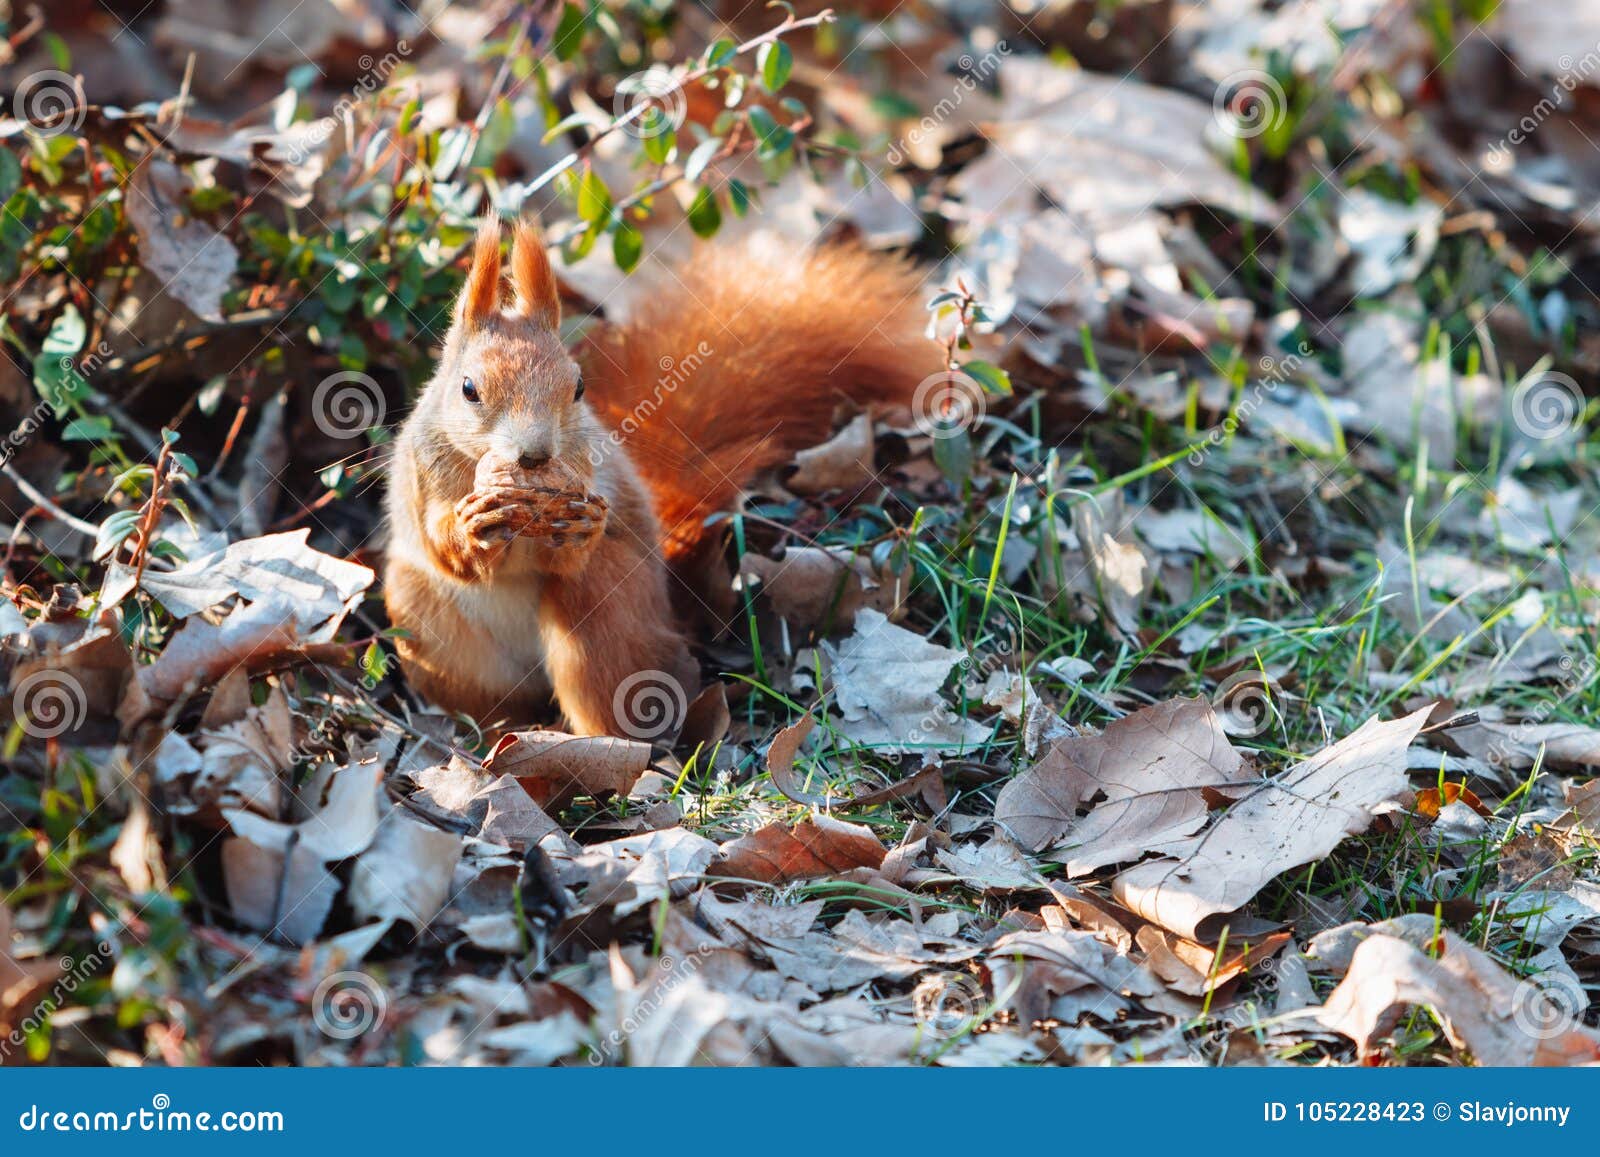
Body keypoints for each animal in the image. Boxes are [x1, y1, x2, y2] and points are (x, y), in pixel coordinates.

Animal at [383, 216, 938, 738]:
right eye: (468, 389)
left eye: (578, 387)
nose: (535, 455)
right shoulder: (424, 474)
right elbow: (443, 548)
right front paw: (471, 524)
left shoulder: (588, 470)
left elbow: (569, 552)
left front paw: (578, 526)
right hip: (426, 623)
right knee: (493, 697)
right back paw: (505, 732)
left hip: (618, 602)